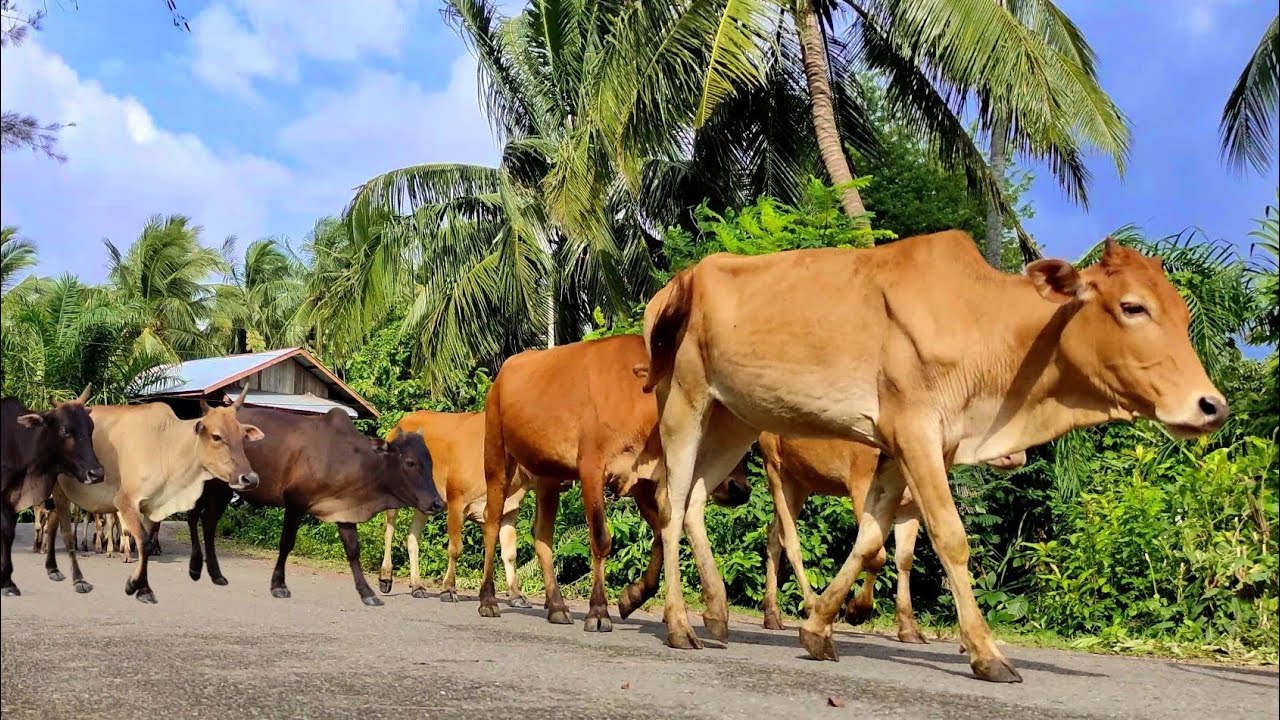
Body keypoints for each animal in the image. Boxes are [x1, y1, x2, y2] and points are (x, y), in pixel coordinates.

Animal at [49, 393, 263, 601]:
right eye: (216, 436)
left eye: (242, 436)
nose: (250, 478)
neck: (166, 446)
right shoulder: (125, 502)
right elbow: (142, 541)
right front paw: (141, 587)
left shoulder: (152, 508)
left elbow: (147, 542)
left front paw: (137, 583)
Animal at [185, 406, 444, 606]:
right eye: (410, 462)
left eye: (431, 462)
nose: (437, 503)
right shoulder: (295, 501)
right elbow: (286, 543)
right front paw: (278, 585)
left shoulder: (344, 511)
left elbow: (353, 550)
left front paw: (367, 593)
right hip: (208, 485)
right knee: (193, 516)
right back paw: (196, 568)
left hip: (224, 491)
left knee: (208, 523)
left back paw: (216, 575)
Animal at [475, 334, 751, 633]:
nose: (740, 488)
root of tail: (503, 373)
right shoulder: (591, 471)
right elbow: (601, 539)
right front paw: (598, 610)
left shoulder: (643, 482)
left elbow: (659, 534)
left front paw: (632, 597)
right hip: (496, 455)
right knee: (492, 523)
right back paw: (488, 600)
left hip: (548, 474)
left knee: (542, 536)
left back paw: (557, 606)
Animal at [758, 433, 1025, 642]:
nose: (1015, 456)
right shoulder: (861, 485)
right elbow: (876, 553)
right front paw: (857, 610)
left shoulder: (911, 506)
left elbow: (904, 558)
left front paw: (909, 628)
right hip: (775, 466)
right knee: (790, 540)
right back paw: (810, 604)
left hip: (802, 478)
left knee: (773, 533)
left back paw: (771, 613)